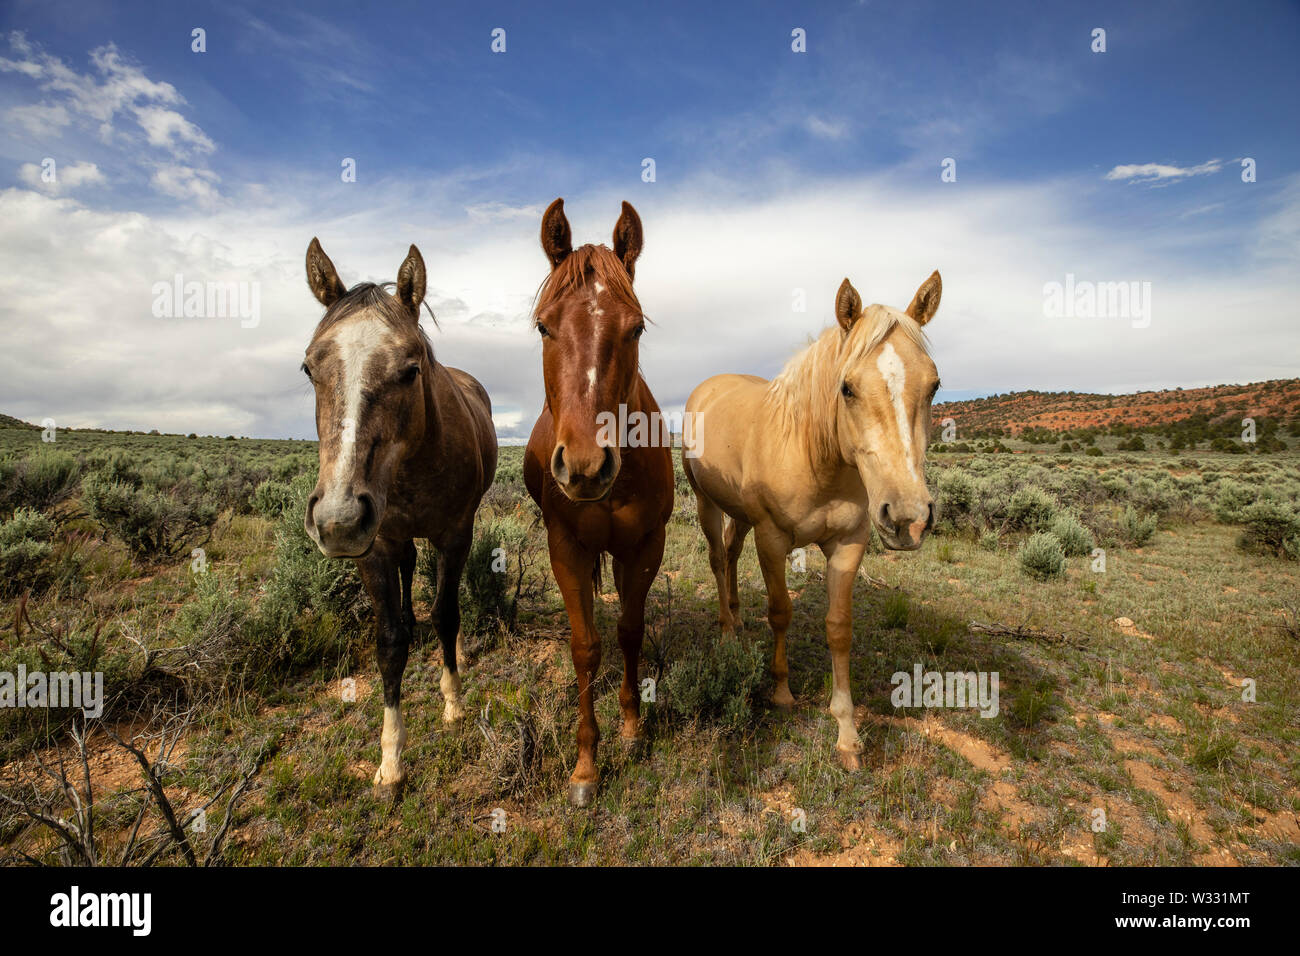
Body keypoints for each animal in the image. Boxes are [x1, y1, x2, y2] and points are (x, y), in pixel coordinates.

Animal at [301, 238, 497, 800]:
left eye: (410, 369)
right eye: (309, 369)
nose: (338, 518)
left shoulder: (455, 535)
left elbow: (447, 615)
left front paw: (453, 702)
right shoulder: (376, 547)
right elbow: (389, 641)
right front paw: (390, 761)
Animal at [682, 271, 943, 769]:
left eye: (935, 385)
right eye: (847, 387)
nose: (908, 517)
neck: (815, 456)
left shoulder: (848, 545)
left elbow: (838, 629)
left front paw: (846, 731)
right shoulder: (772, 539)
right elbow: (780, 611)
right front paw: (782, 692)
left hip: (739, 515)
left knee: (730, 553)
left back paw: (738, 620)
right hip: (707, 504)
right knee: (717, 560)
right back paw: (726, 632)